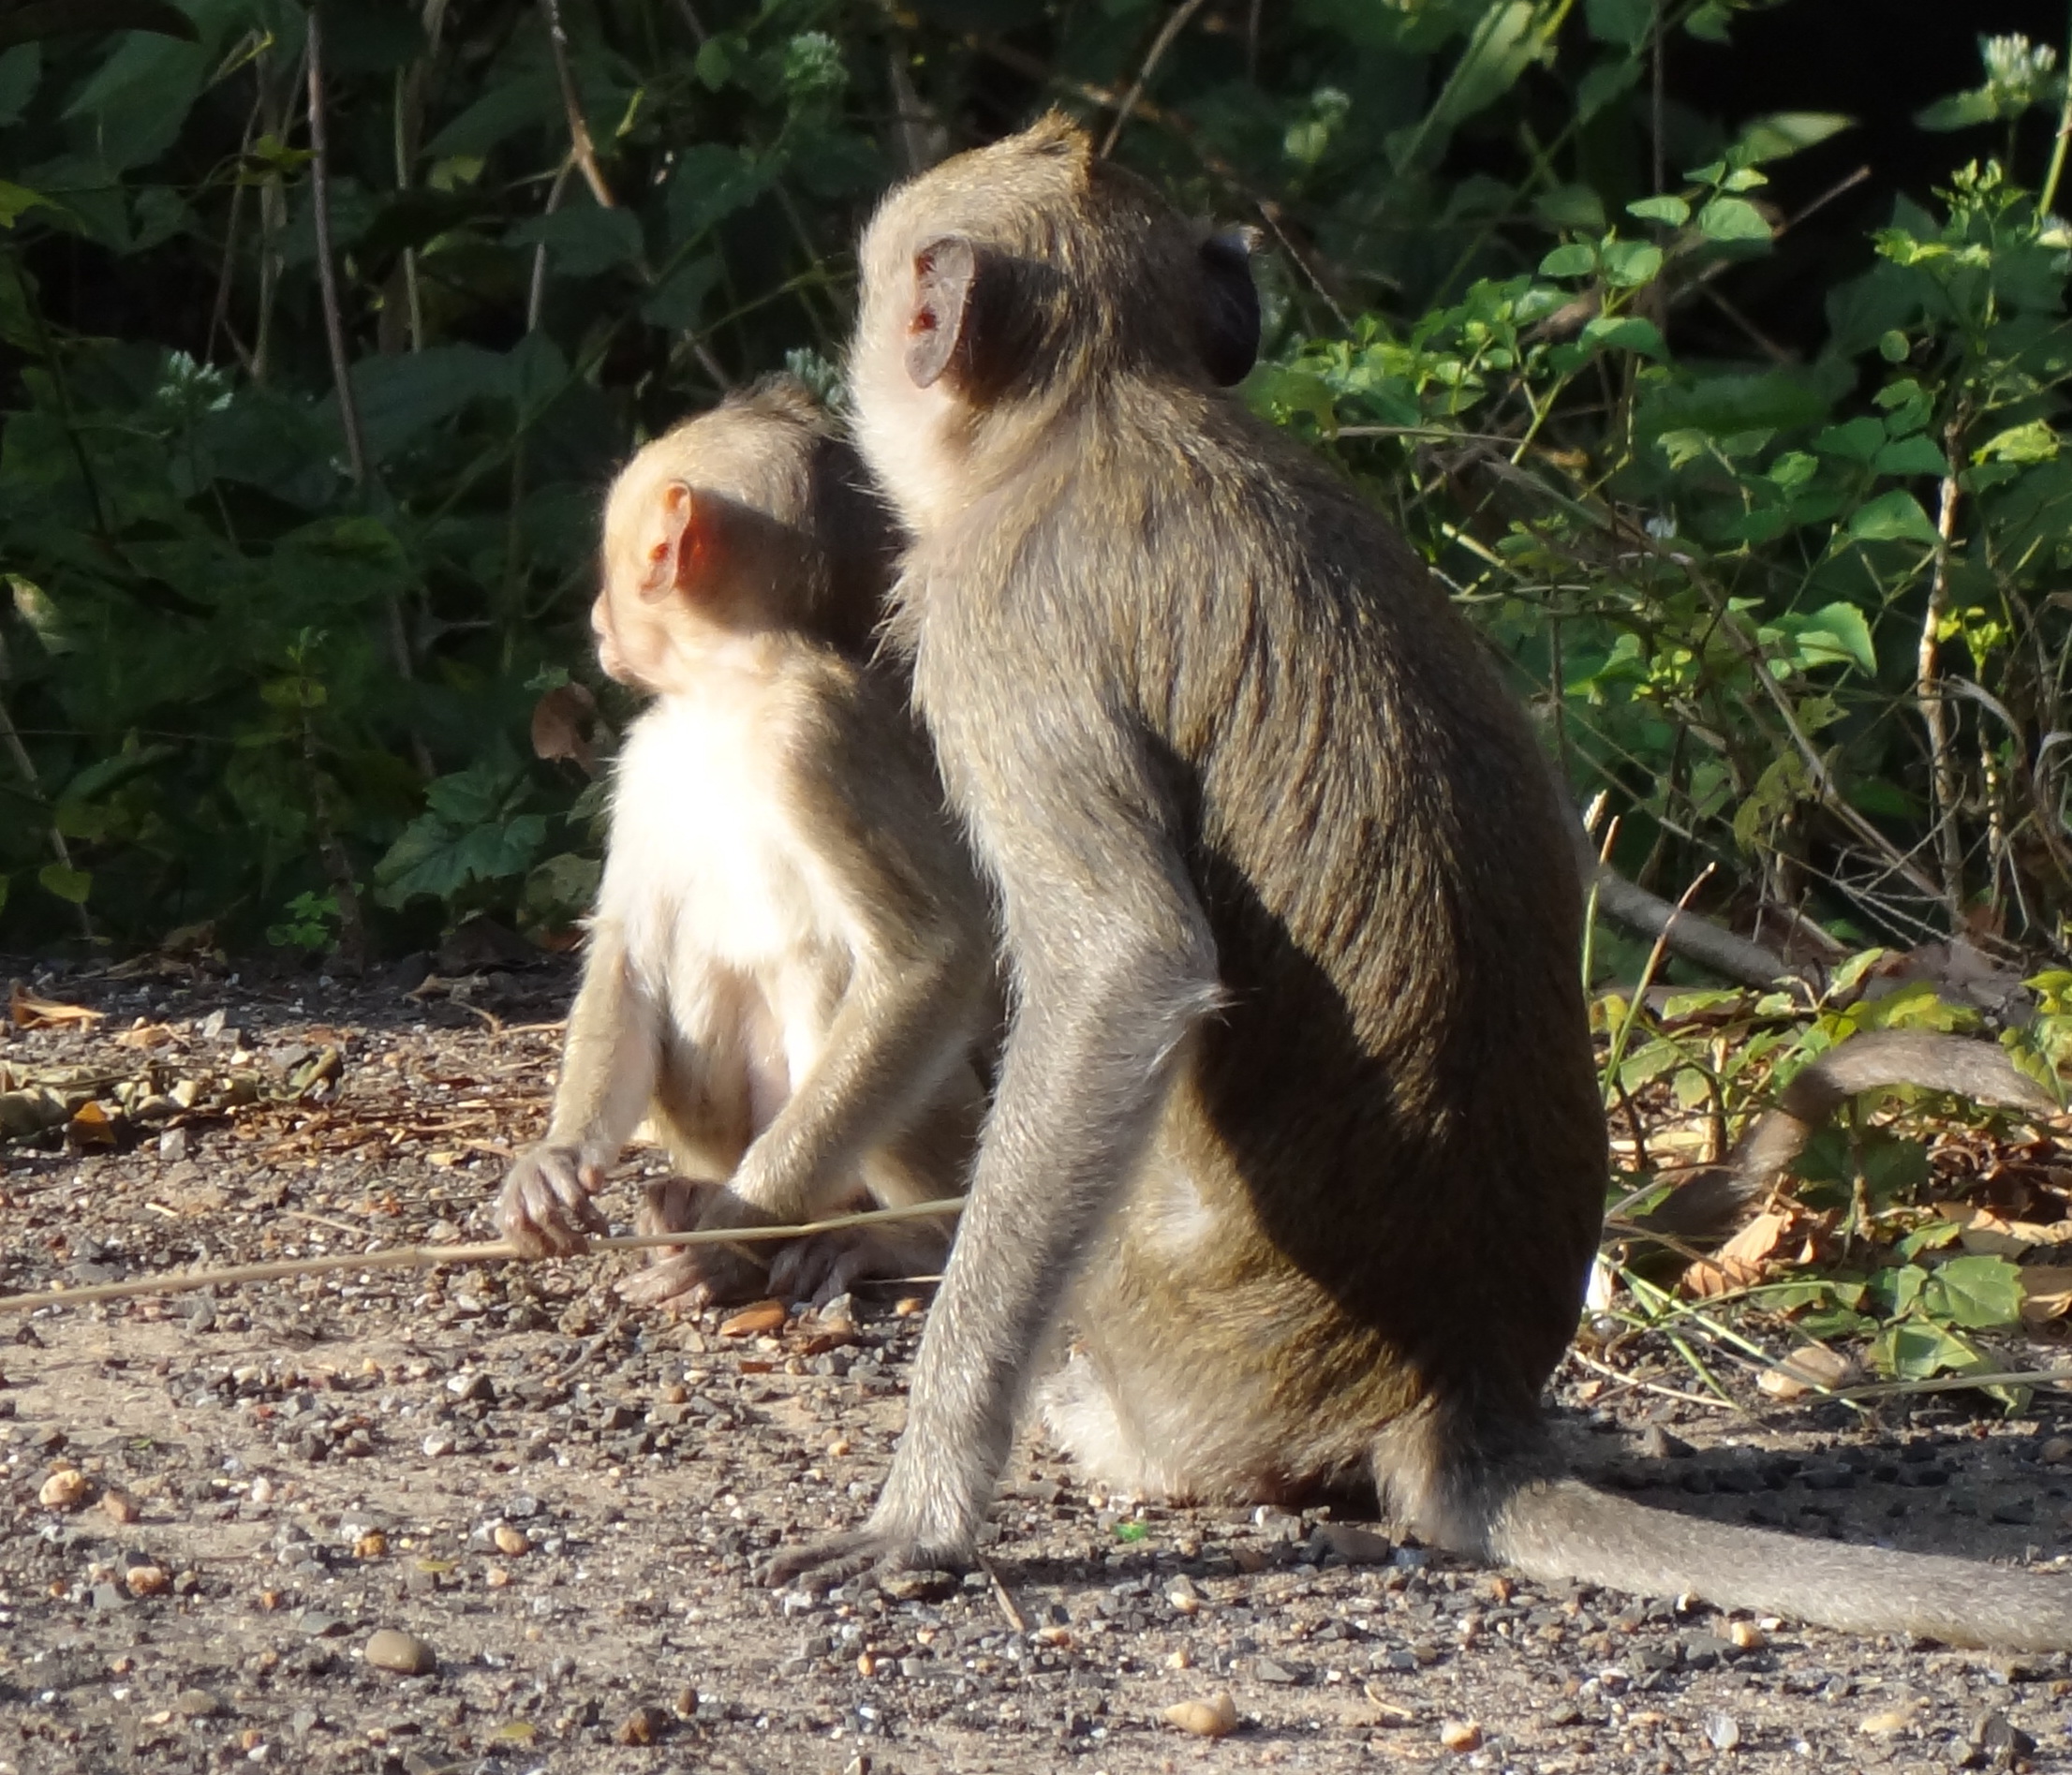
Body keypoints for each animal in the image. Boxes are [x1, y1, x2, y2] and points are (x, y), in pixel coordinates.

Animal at [495, 377, 995, 1310]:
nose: (596, 616)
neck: (730, 691)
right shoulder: (646, 756)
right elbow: (629, 952)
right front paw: (555, 1160)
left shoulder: (814, 734)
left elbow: (934, 955)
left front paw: (738, 1230)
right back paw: (691, 1196)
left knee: (835, 974)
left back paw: (898, 1235)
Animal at [765, 115, 2072, 1650]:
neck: (1101, 407)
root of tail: (1450, 1392)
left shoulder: (995, 626)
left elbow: (1123, 972)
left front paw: (922, 1511)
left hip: (1182, 1343)